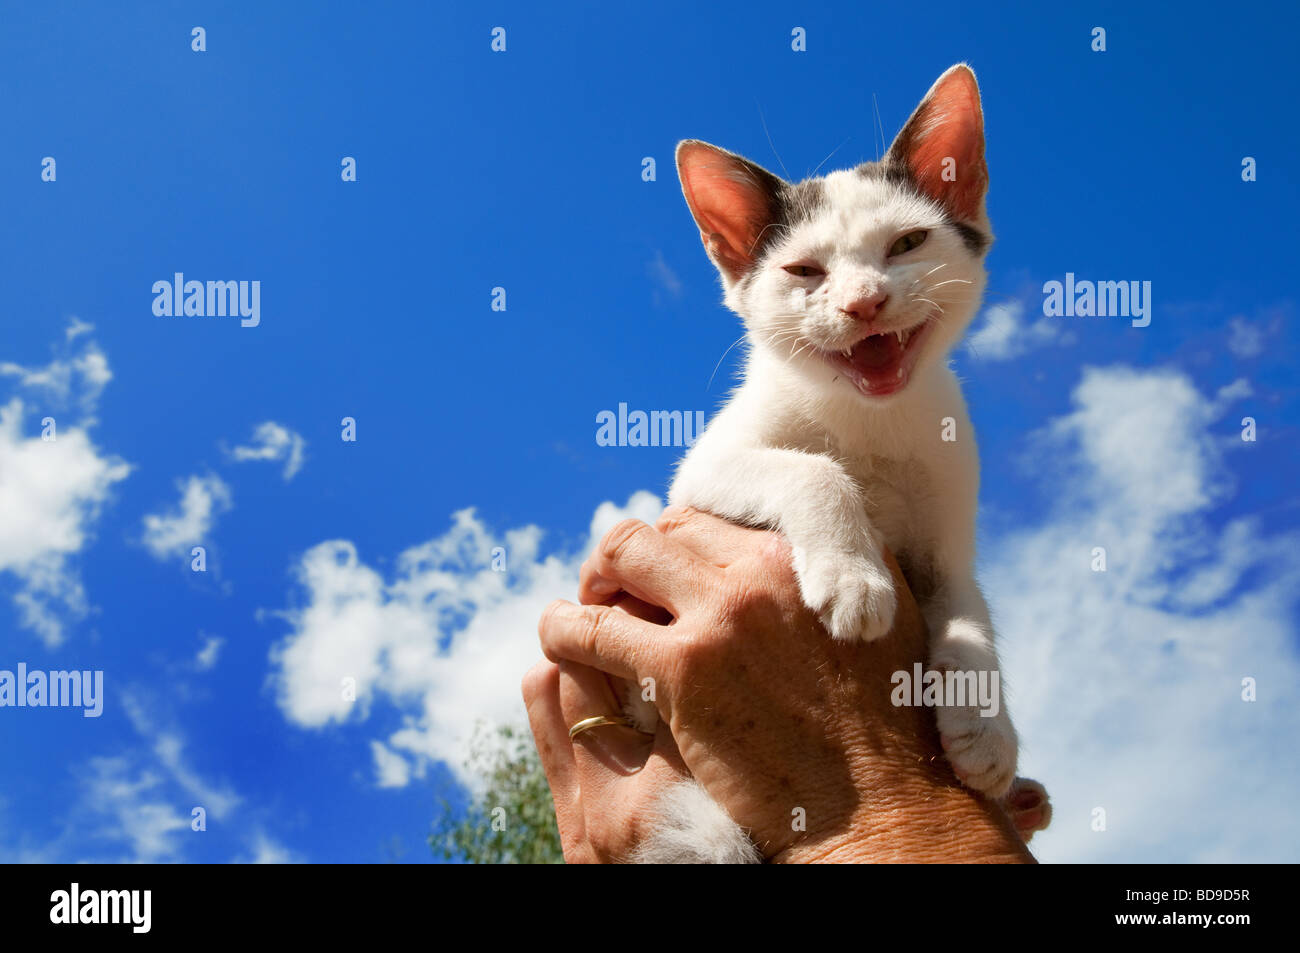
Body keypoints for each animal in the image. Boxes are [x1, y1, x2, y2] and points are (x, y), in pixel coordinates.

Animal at [629, 63, 1045, 858]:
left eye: (908, 242)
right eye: (804, 270)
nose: (864, 302)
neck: (868, 424)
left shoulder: (945, 541)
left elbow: (968, 605)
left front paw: (985, 725)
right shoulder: (700, 475)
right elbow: (811, 468)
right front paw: (854, 578)